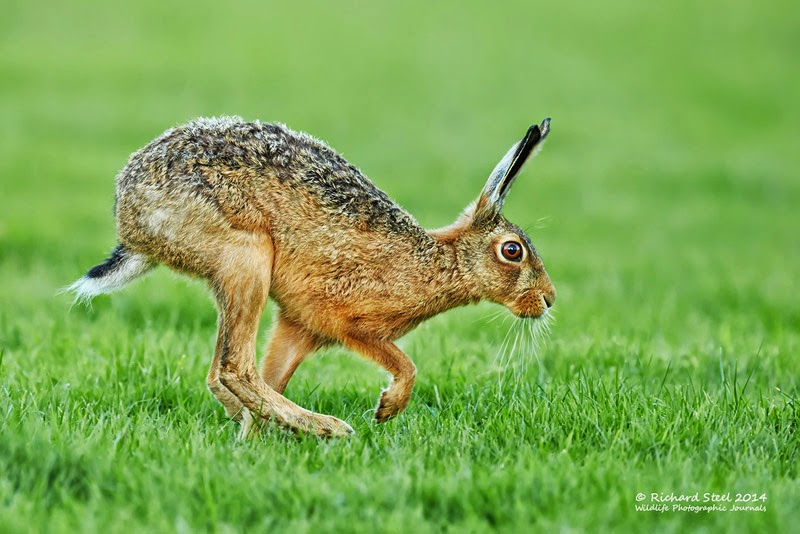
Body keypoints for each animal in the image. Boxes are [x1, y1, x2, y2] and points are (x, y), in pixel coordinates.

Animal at [69, 116, 556, 438]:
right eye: (512, 251)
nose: (549, 299)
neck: (441, 261)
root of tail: (131, 217)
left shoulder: (298, 327)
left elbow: (275, 373)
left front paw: (250, 441)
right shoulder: (347, 322)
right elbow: (405, 364)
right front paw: (385, 410)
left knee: (226, 374)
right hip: (246, 256)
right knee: (234, 368)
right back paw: (331, 428)